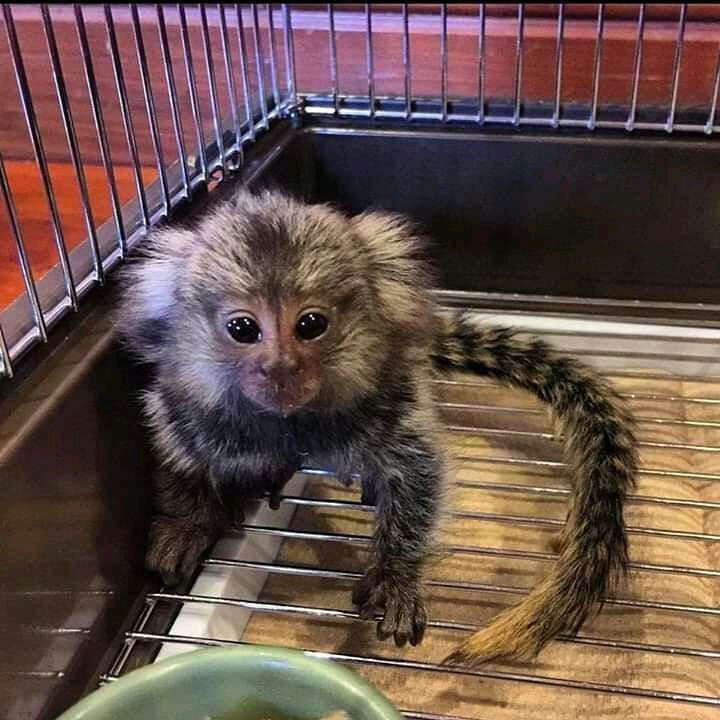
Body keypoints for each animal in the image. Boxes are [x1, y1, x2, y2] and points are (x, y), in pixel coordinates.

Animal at [116, 187, 638, 666]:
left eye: (310, 324)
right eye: (243, 329)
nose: (281, 368)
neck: (293, 423)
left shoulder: (392, 401)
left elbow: (419, 476)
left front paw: (395, 576)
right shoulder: (192, 406)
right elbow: (178, 454)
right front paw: (187, 524)